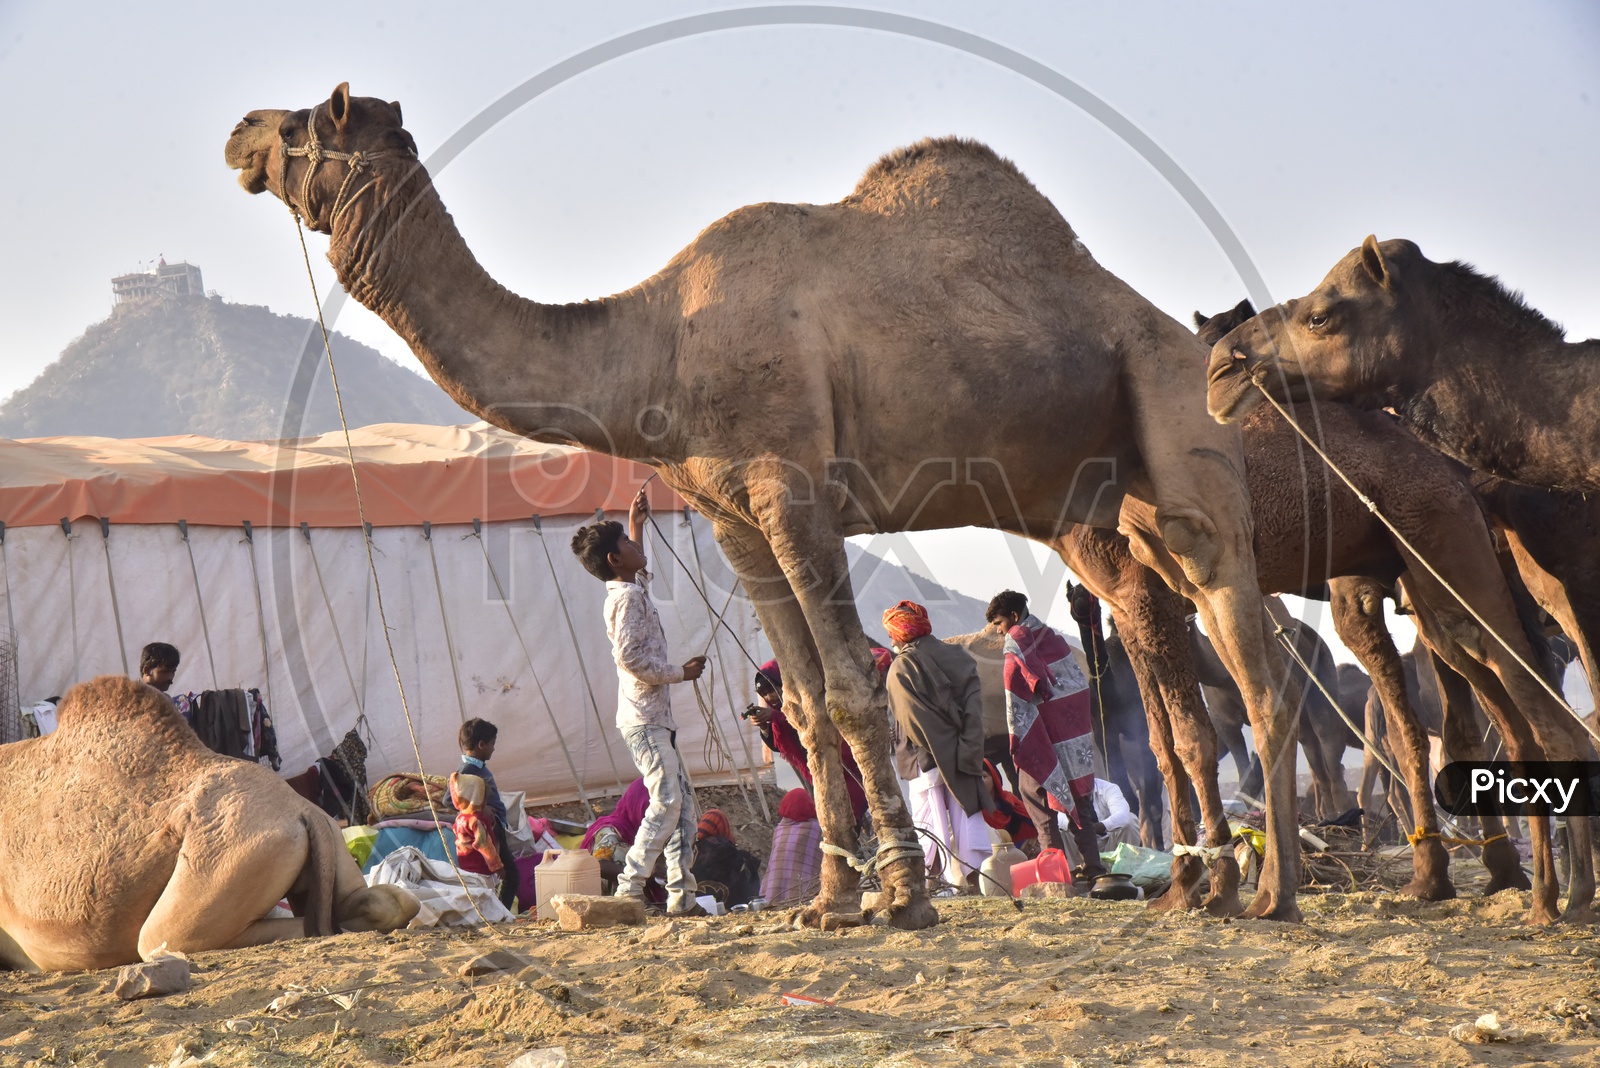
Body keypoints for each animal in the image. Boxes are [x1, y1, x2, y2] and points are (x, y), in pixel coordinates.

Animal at [226, 84, 1310, 925]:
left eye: (307, 123)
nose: (239, 131)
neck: (660, 342)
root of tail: (1184, 336)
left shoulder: (794, 489)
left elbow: (850, 688)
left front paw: (900, 897)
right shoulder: (732, 515)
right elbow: (799, 701)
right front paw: (831, 901)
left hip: (1173, 413)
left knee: (1250, 653)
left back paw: (1272, 891)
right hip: (1105, 499)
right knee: (1170, 663)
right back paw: (1205, 887)